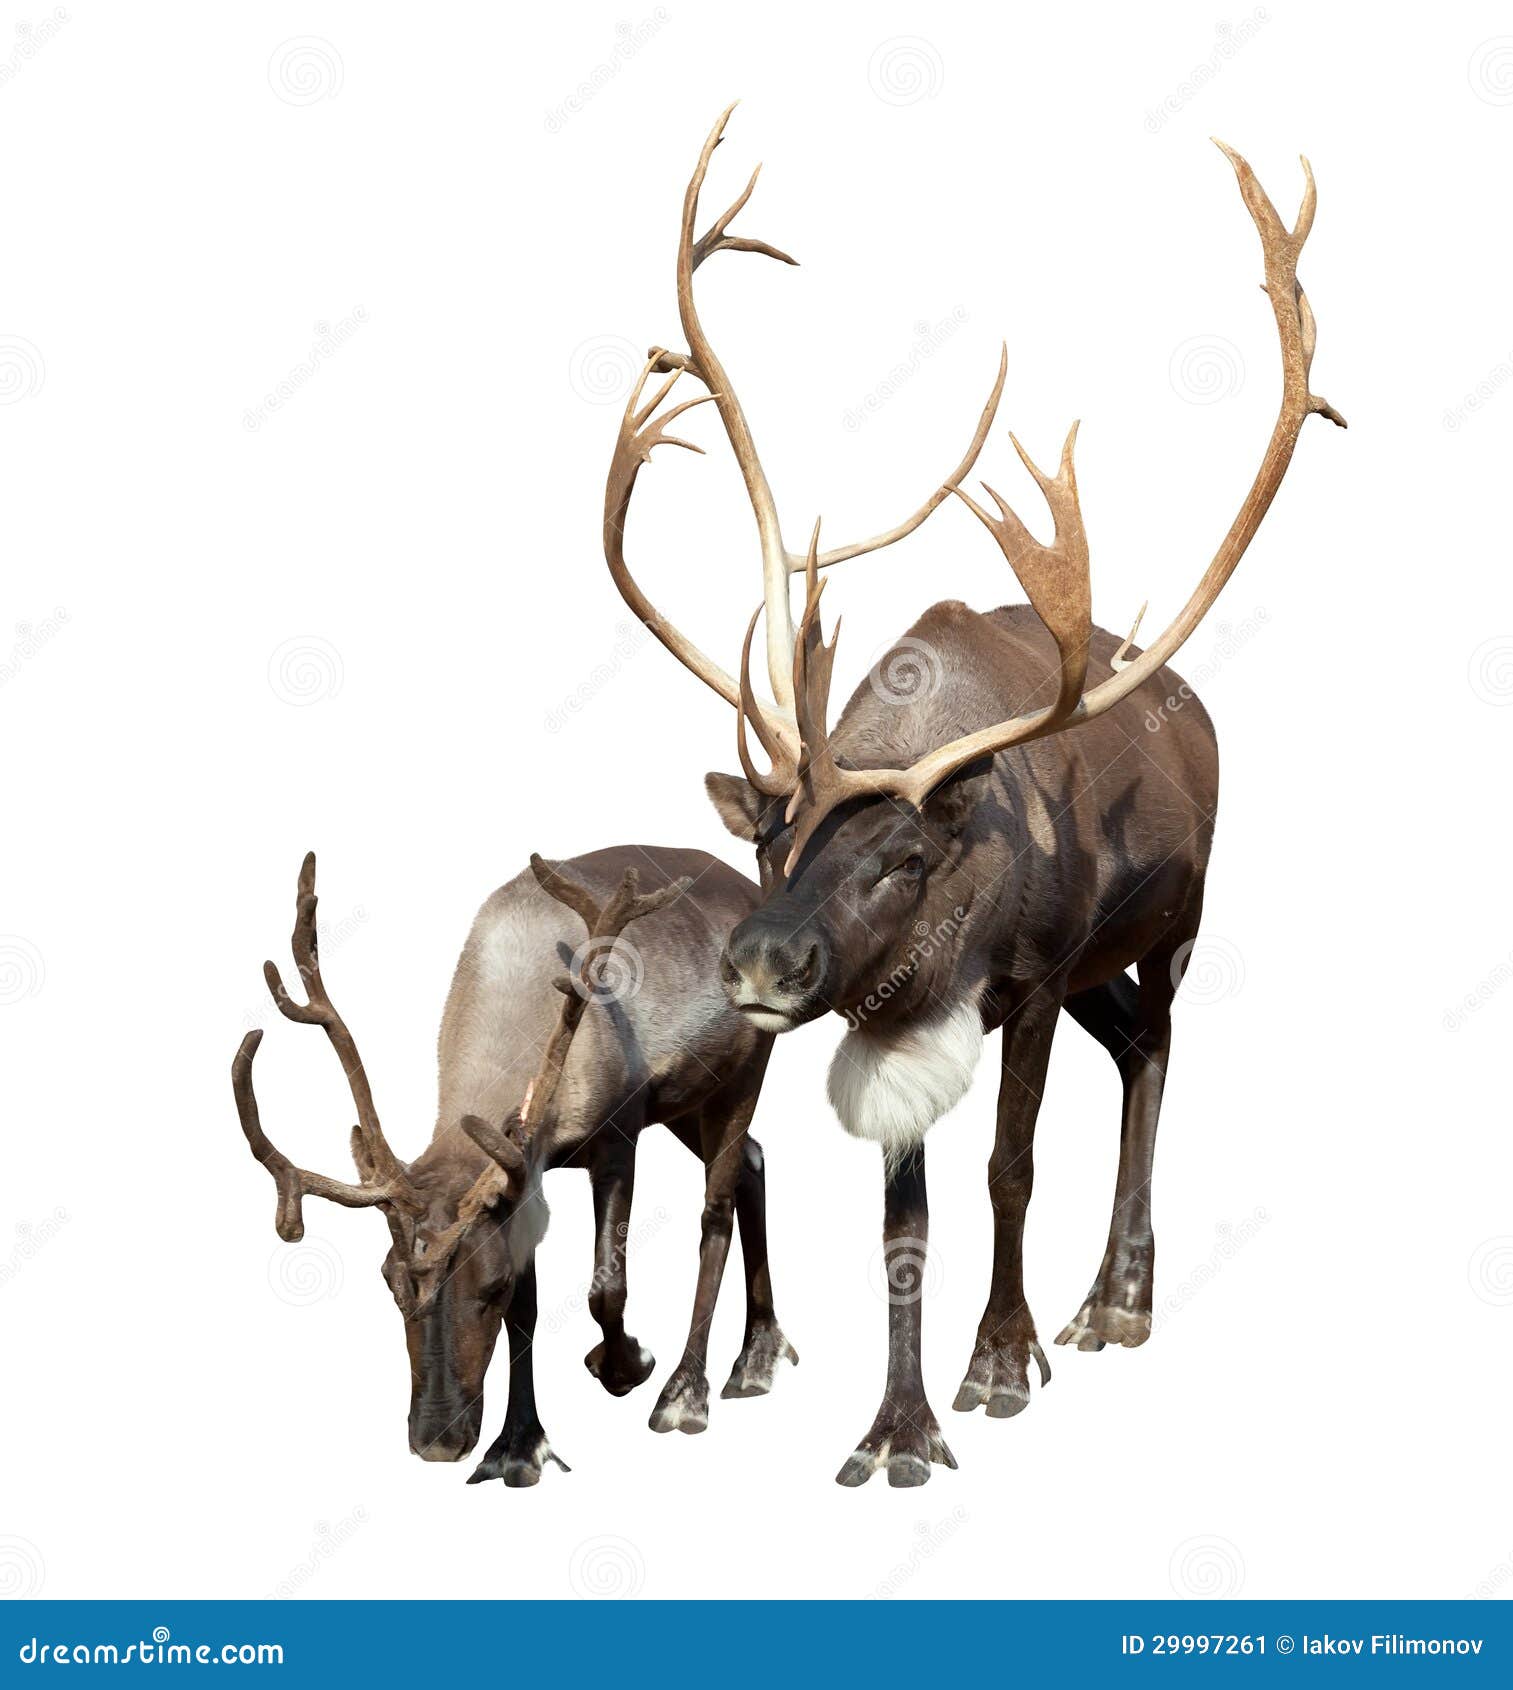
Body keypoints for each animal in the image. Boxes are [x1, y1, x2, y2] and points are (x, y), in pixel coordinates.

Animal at [231, 845, 799, 1484]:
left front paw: (625, 1365)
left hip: (742, 1072)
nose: (438, 1442)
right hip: (686, 1103)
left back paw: (688, 1393)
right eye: (389, 1280)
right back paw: (758, 1355)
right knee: (753, 1161)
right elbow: (529, 1310)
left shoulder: (619, 1134)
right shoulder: (524, 1179)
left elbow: (606, 1287)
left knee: (716, 1208)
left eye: (491, 1287)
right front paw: (519, 1446)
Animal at [601, 109, 1344, 1485]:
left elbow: (1009, 1166)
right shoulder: (895, 1008)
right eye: (772, 836)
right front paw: (897, 1428)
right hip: (1099, 968)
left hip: (1168, 928)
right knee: (1137, 1044)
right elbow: (906, 1221)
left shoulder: (1034, 983)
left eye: (905, 856)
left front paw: (998, 1365)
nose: (761, 961)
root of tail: (1192, 708)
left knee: (1162, 1050)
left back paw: (1118, 1300)